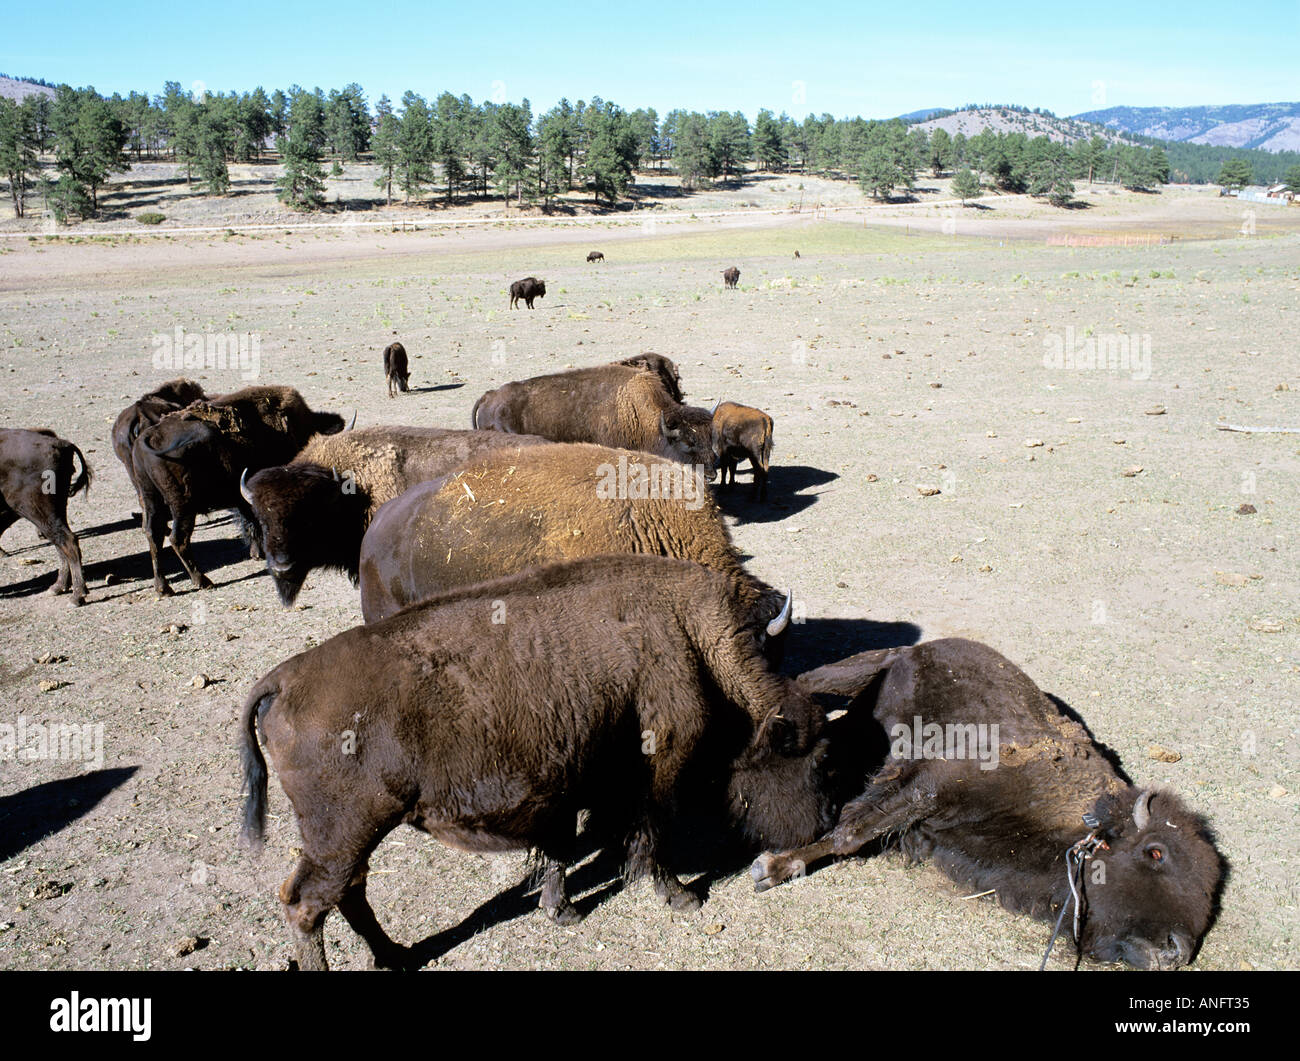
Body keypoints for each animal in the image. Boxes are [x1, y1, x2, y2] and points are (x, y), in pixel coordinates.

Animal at [0, 428, 92, 606]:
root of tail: (60, 443)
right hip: (54, 512)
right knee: (61, 544)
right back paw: (58, 587)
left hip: (37, 511)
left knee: (68, 542)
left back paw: (76, 596)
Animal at [239, 554, 830, 970]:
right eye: (808, 757)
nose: (820, 826)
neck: (691, 638)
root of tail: (282, 680)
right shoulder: (657, 770)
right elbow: (650, 833)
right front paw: (680, 897)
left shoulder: (569, 789)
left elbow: (559, 849)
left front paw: (561, 910)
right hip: (344, 831)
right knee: (307, 902)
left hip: (348, 836)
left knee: (349, 891)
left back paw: (396, 955)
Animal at [752, 638, 1226, 970]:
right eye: (1155, 852)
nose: (1175, 951)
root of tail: (929, 645)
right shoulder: (932, 783)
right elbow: (852, 830)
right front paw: (773, 867)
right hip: (857, 671)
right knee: (806, 682)